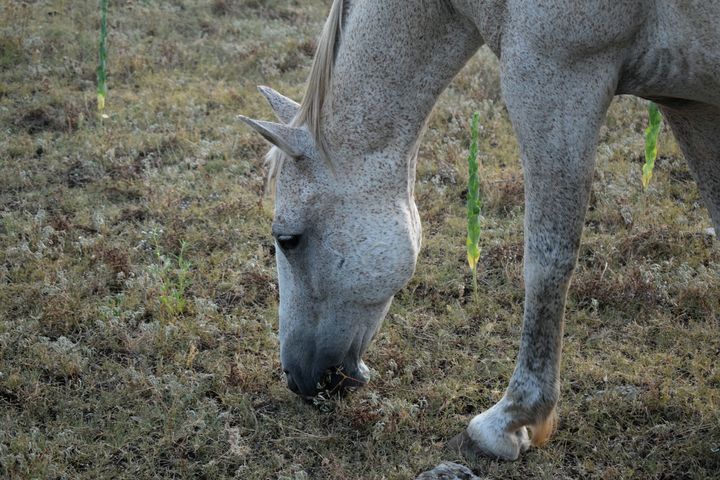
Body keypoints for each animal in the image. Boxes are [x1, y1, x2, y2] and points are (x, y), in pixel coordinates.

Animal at [239, 0, 720, 461]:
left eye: (287, 239)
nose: (296, 378)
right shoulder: (687, 104)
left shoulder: (555, 82)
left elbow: (547, 263)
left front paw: (508, 421)